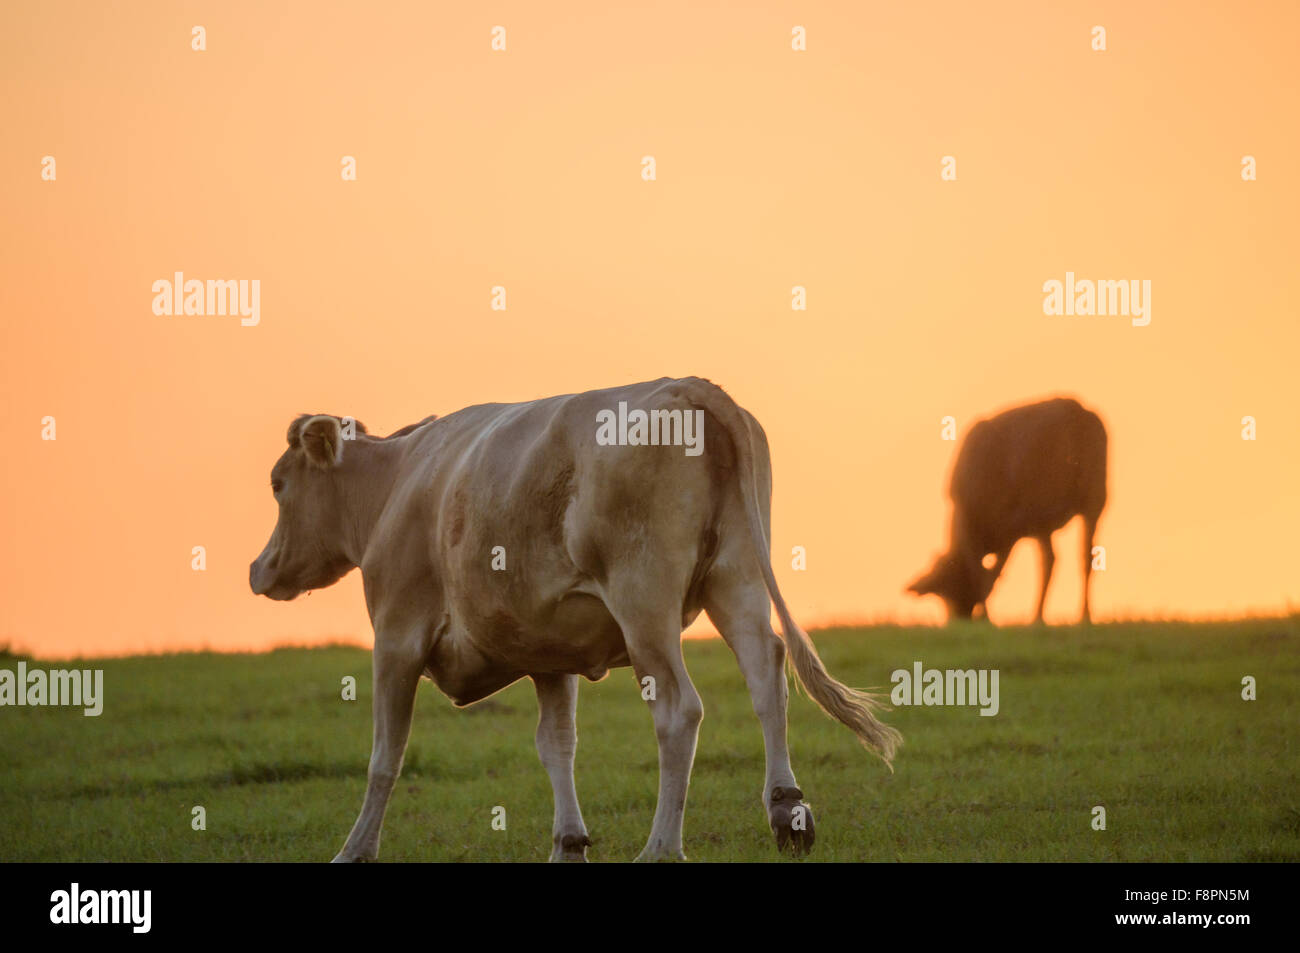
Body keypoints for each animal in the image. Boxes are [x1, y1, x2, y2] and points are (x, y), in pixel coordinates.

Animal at [250, 377, 900, 862]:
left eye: (279, 484)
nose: (259, 570)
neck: (397, 486)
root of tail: (686, 385)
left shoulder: (396, 635)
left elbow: (386, 755)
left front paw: (355, 849)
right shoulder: (548, 650)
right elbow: (556, 744)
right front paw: (569, 841)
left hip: (644, 600)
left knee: (679, 708)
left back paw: (661, 846)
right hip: (736, 576)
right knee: (767, 675)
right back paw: (787, 812)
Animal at [906, 397, 1107, 625]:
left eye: (944, 591)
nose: (958, 618)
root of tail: (1075, 410)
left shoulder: (981, 527)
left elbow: (982, 573)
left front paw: (986, 616)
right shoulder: (1013, 532)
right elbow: (994, 573)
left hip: (1039, 506)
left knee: (1051, 559)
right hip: (1092, 498)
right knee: (1081, 556)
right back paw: (1079, 615)